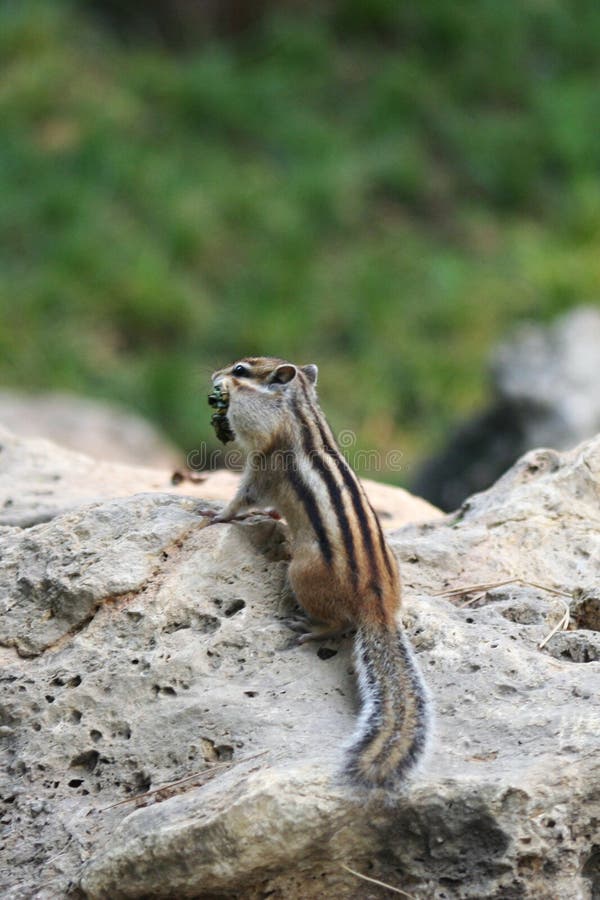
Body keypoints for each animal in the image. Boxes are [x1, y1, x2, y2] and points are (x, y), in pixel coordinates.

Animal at [205, 356, 430, 792]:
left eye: (240, 370)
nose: (214, 377)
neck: (301, 418)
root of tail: (380, 606)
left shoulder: (262, 468)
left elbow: (241, 499)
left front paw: (214, 513)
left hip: (300, 573)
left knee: (338, 624)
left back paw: (308, 627)